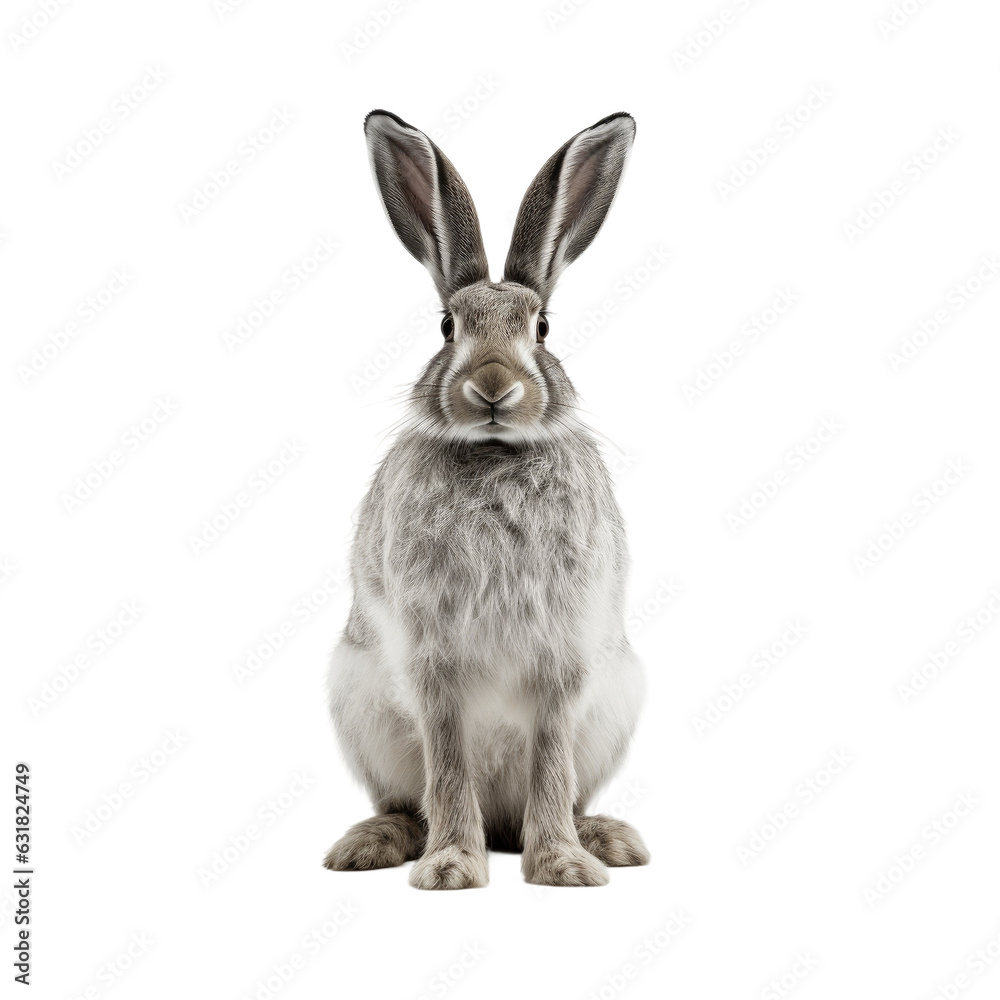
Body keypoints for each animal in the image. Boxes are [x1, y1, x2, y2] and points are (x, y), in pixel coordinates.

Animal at [323, 109, 648, 889]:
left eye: (543, 328)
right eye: (447, 326)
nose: (493, 386)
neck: (496, 456)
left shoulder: (564, 662)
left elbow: (552, 761)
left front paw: (563, 866)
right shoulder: (432, 662)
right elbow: (446, 763)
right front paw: (450, 870)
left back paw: (606, 840)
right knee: (406, 800)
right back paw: (373, 844)